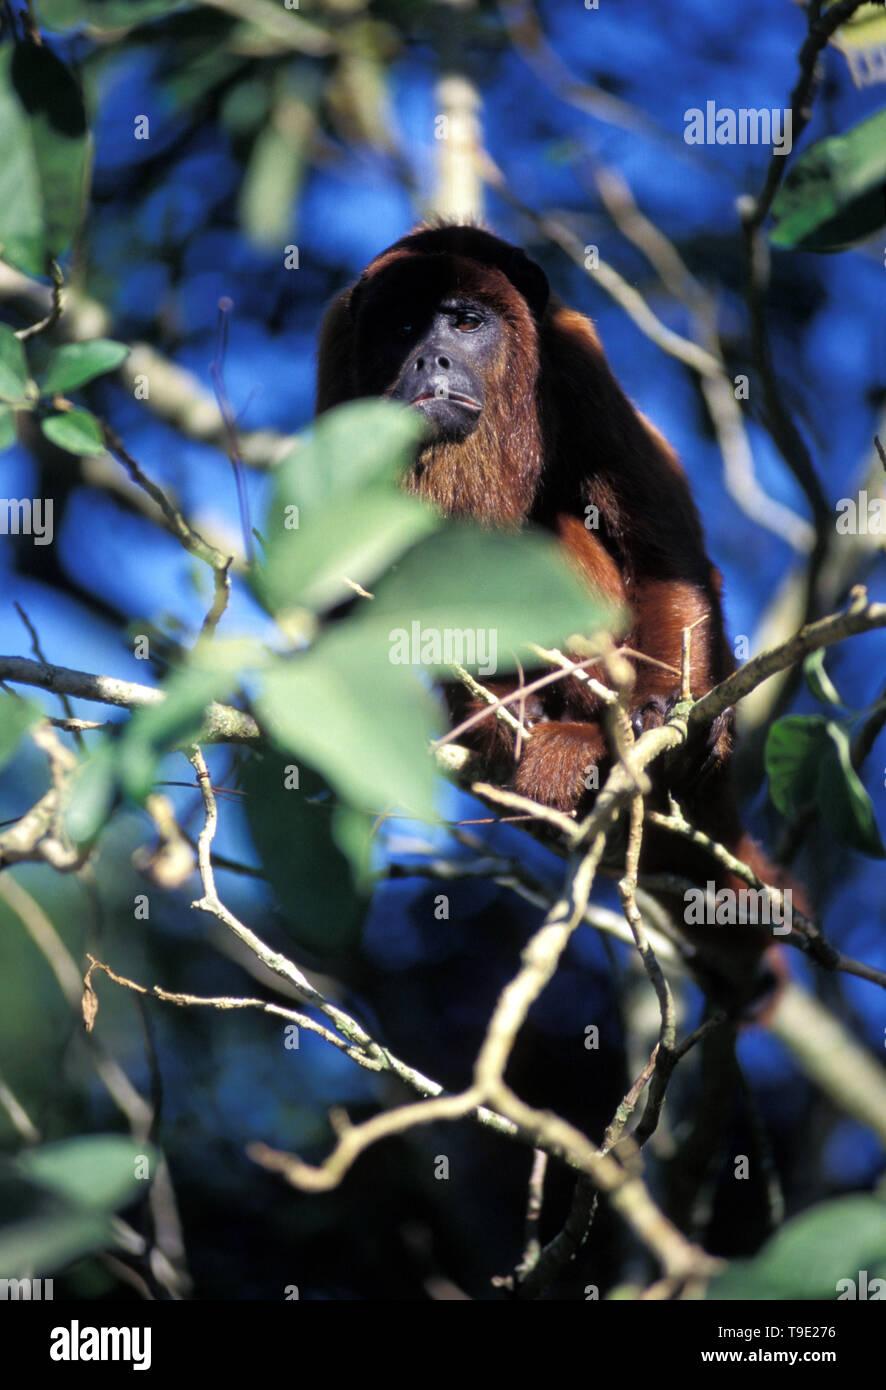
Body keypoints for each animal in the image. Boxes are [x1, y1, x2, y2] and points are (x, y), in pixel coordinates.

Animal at [315, 224, 795, 998]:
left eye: (466, 322)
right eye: (404, 327)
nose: (429, 358)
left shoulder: (577, 366)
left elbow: (668, 557)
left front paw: (670, 719)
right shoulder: (336, 362)